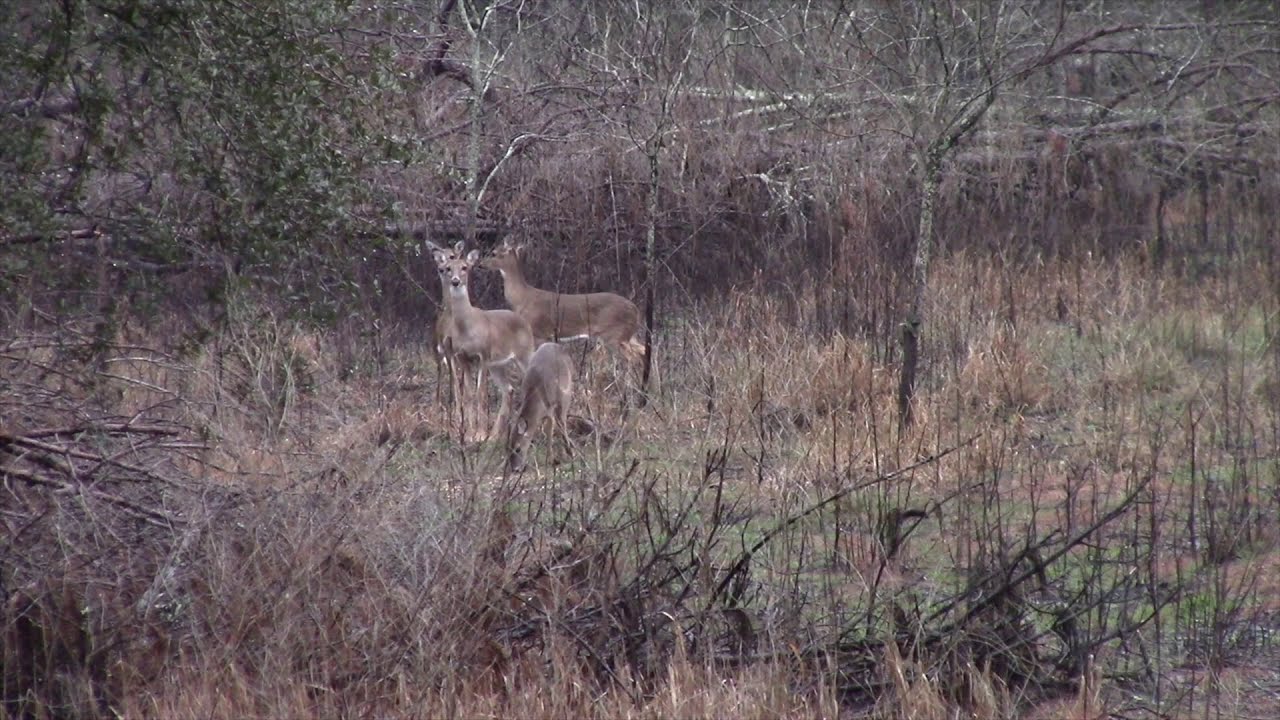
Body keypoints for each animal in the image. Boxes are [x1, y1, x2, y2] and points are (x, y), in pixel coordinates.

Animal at [428, 242, 535, 442]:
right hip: (498, 365)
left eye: (464, 267)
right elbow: (468, 394)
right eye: (448, 268)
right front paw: (470, 434)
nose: (455, 281)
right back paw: (495, 436)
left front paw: (479, 433)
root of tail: (524, 321)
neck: (467, 328)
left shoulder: (483, 355)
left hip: (524, 354)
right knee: (508, 389)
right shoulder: (462, 357)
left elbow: (481, 395)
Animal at [506, 342, 575, 472]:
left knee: (562, 422)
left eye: (518, 449)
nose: (515, 469)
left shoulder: (550, 409)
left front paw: (552, 460)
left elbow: (549, 432)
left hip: (566, 395)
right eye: (508, 448)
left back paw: (569, 452)